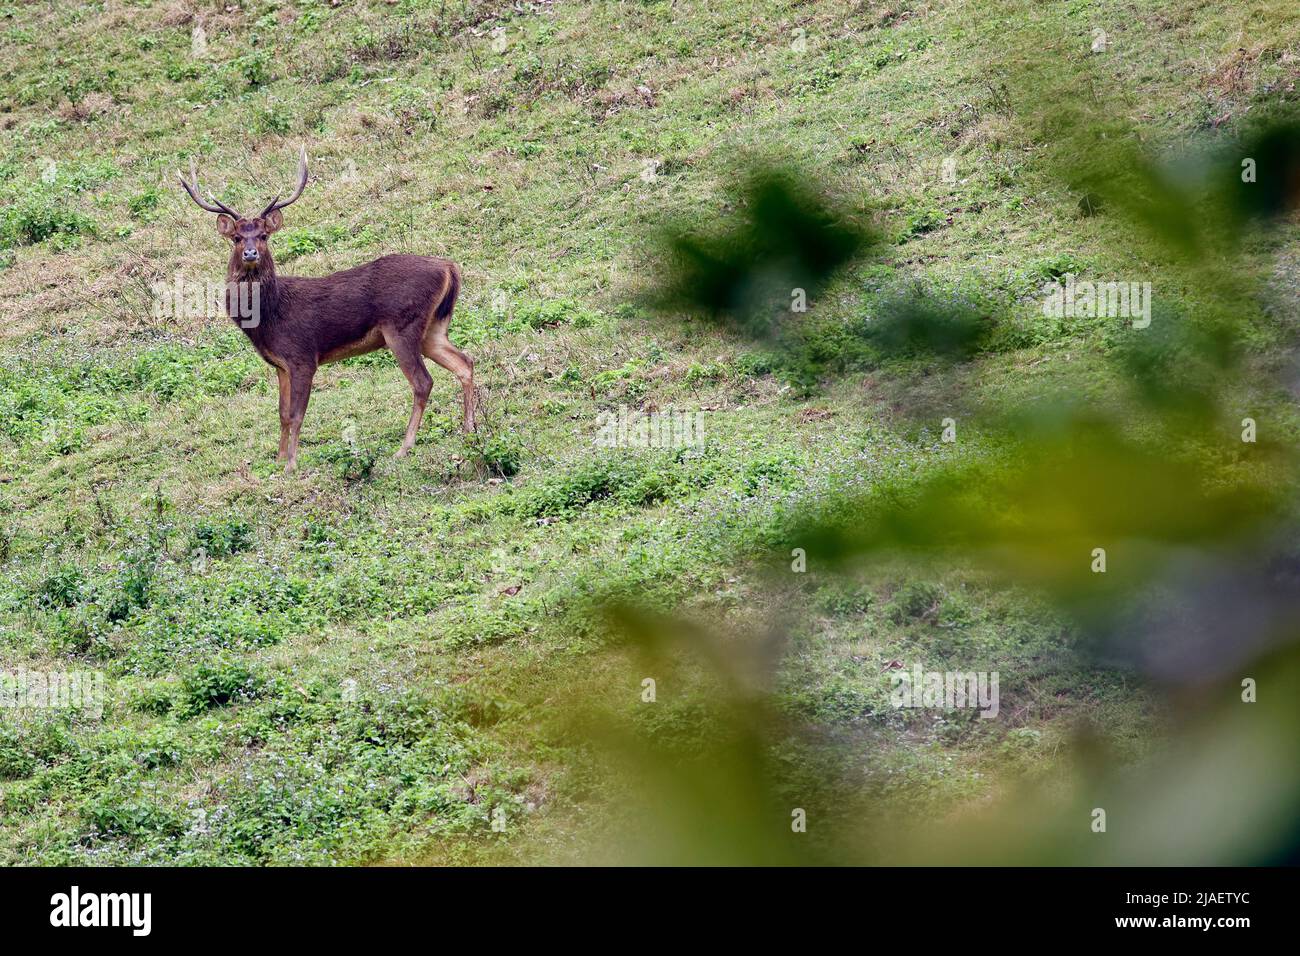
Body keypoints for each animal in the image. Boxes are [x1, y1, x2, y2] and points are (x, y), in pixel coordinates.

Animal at [177, 148, 476, 473]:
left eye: (264, 235)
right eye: (236, 237)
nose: (250, 253)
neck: (268, 319)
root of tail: (449, 268)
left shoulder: (303, 356)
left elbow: (297, 414)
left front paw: (291, 464)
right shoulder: (280, 364)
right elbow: (282, 413)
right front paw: (278, 460)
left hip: (402, 325)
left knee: (423, 382)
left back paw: (404, 447)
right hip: (433, 328)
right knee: (465, 362)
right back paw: (469, 429)